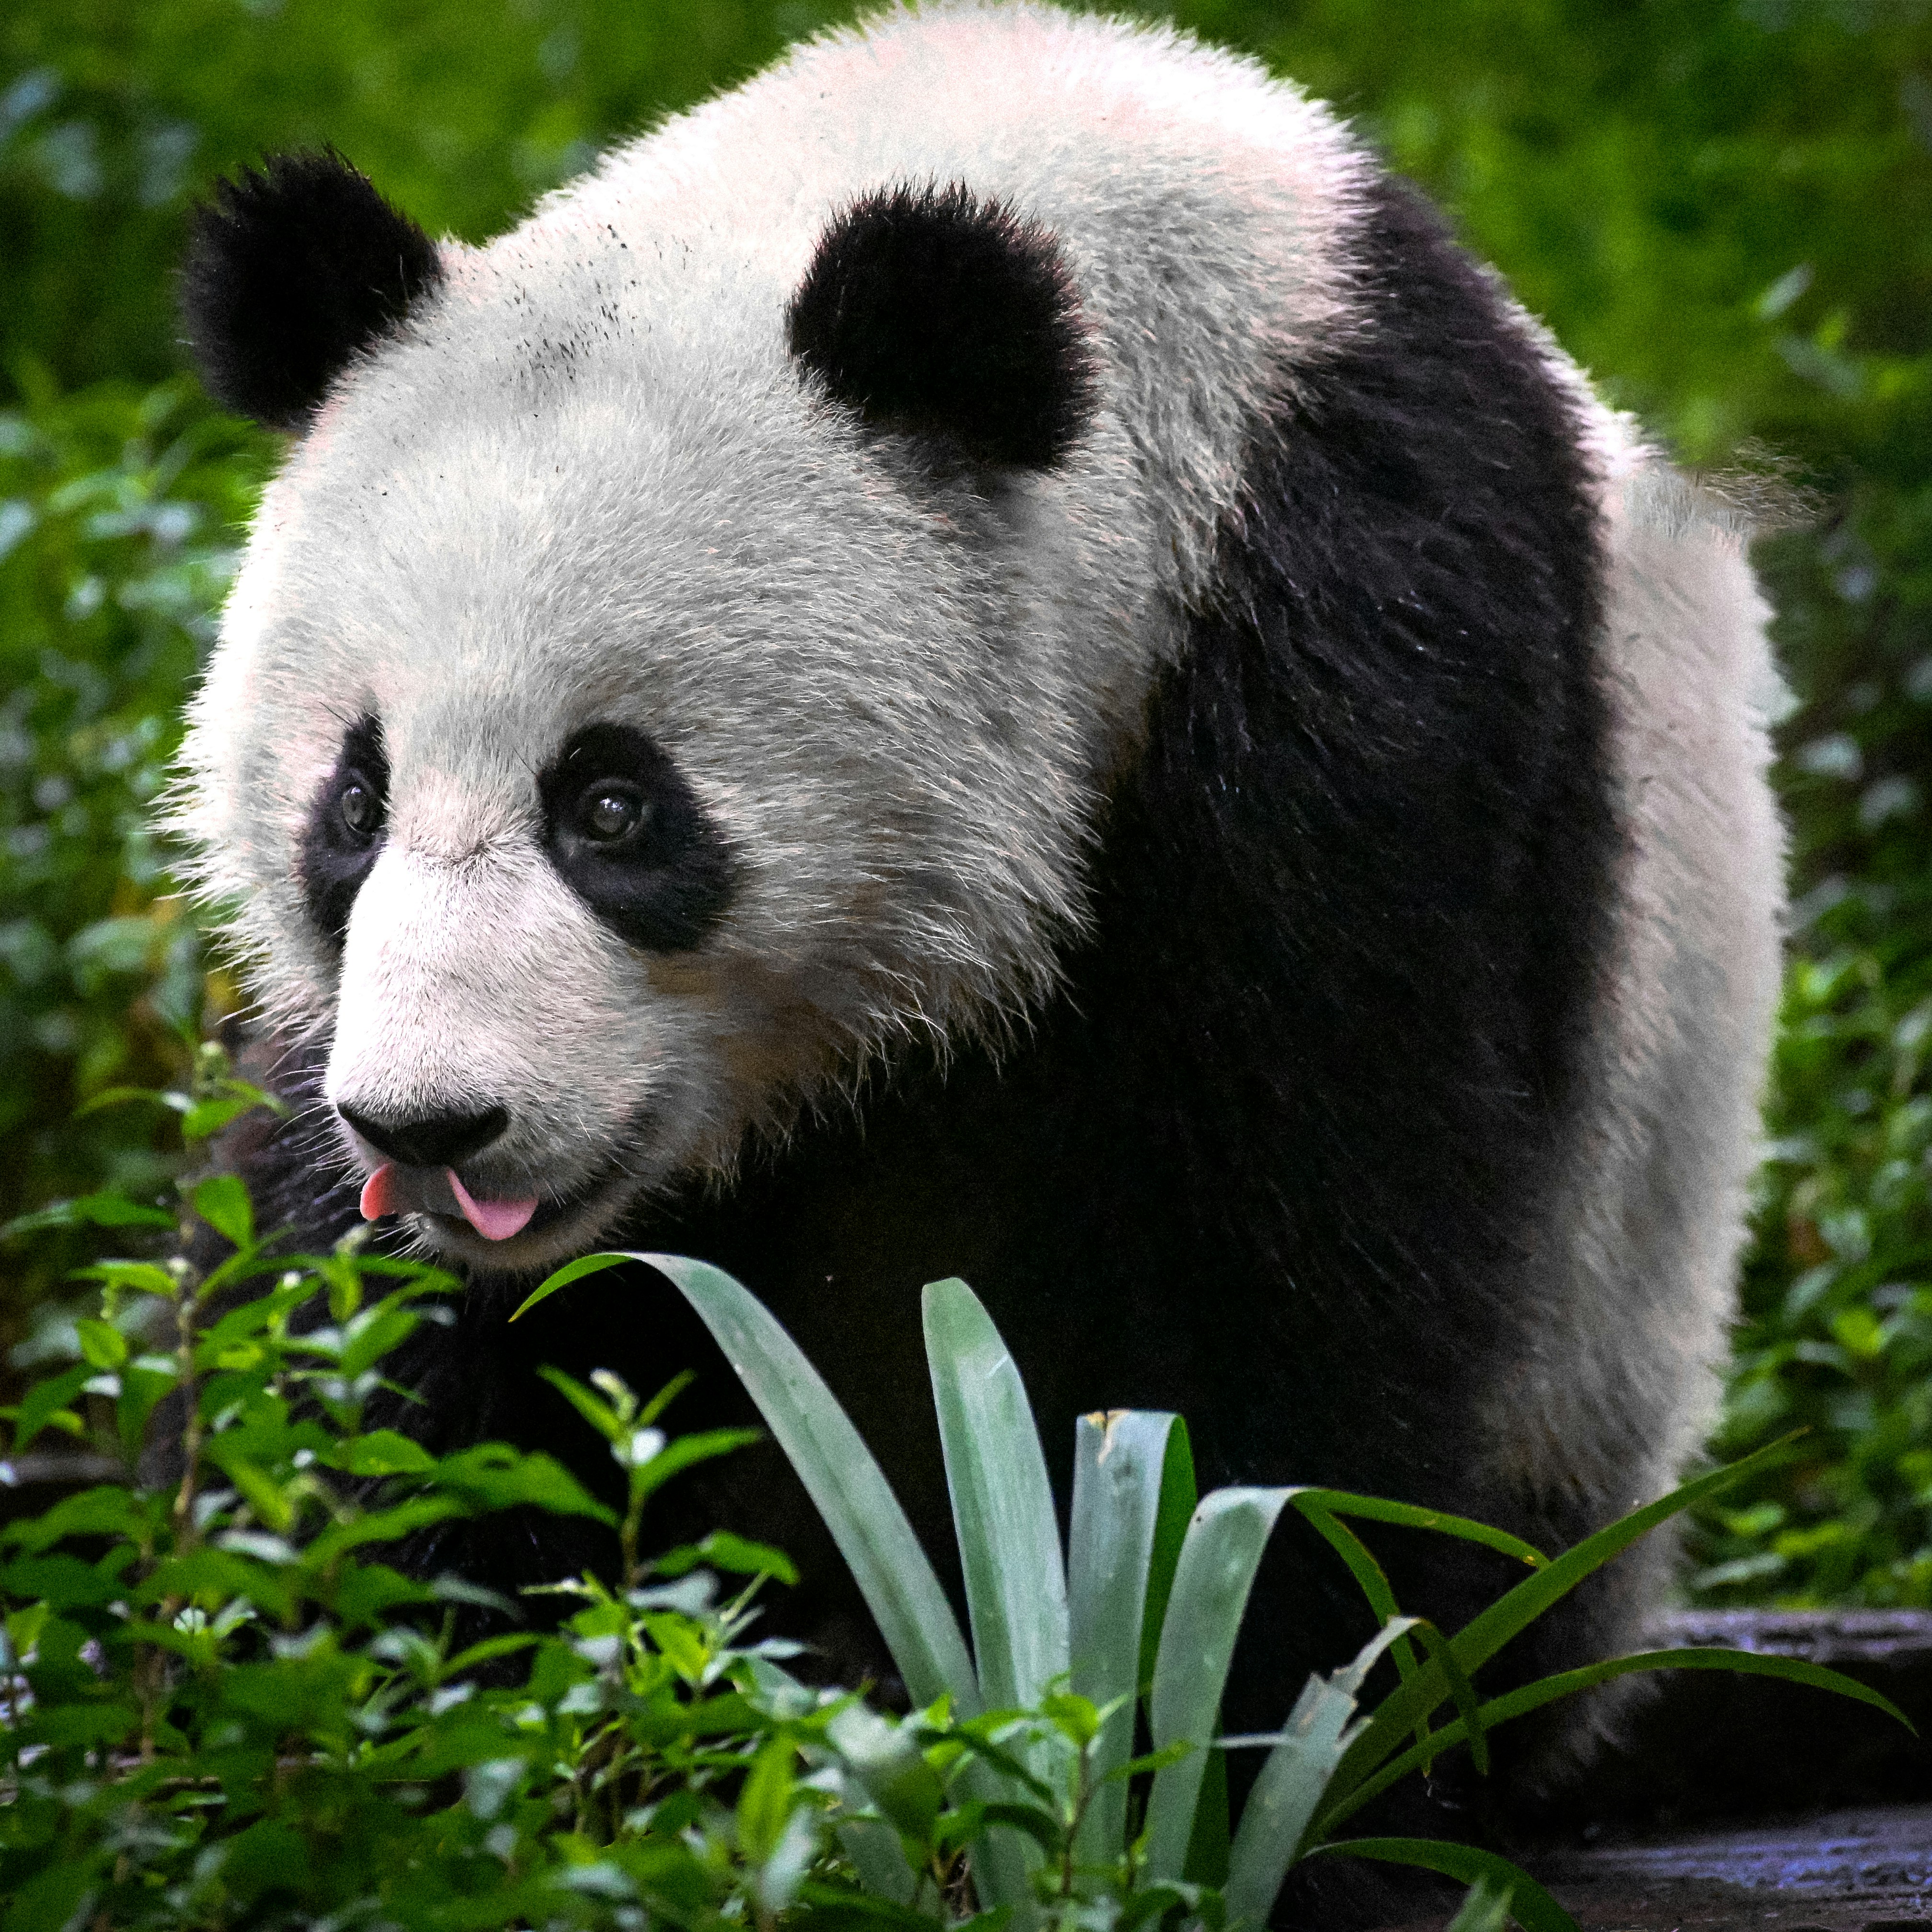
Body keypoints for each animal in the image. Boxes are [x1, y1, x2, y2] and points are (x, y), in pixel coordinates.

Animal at [173, 0, 1784, 1825]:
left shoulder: (1364, 678)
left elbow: (1293, 1275)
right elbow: (361, 1327)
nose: (433, 1127)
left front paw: (1181, 1749)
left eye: (614, 808)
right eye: (351, 806)